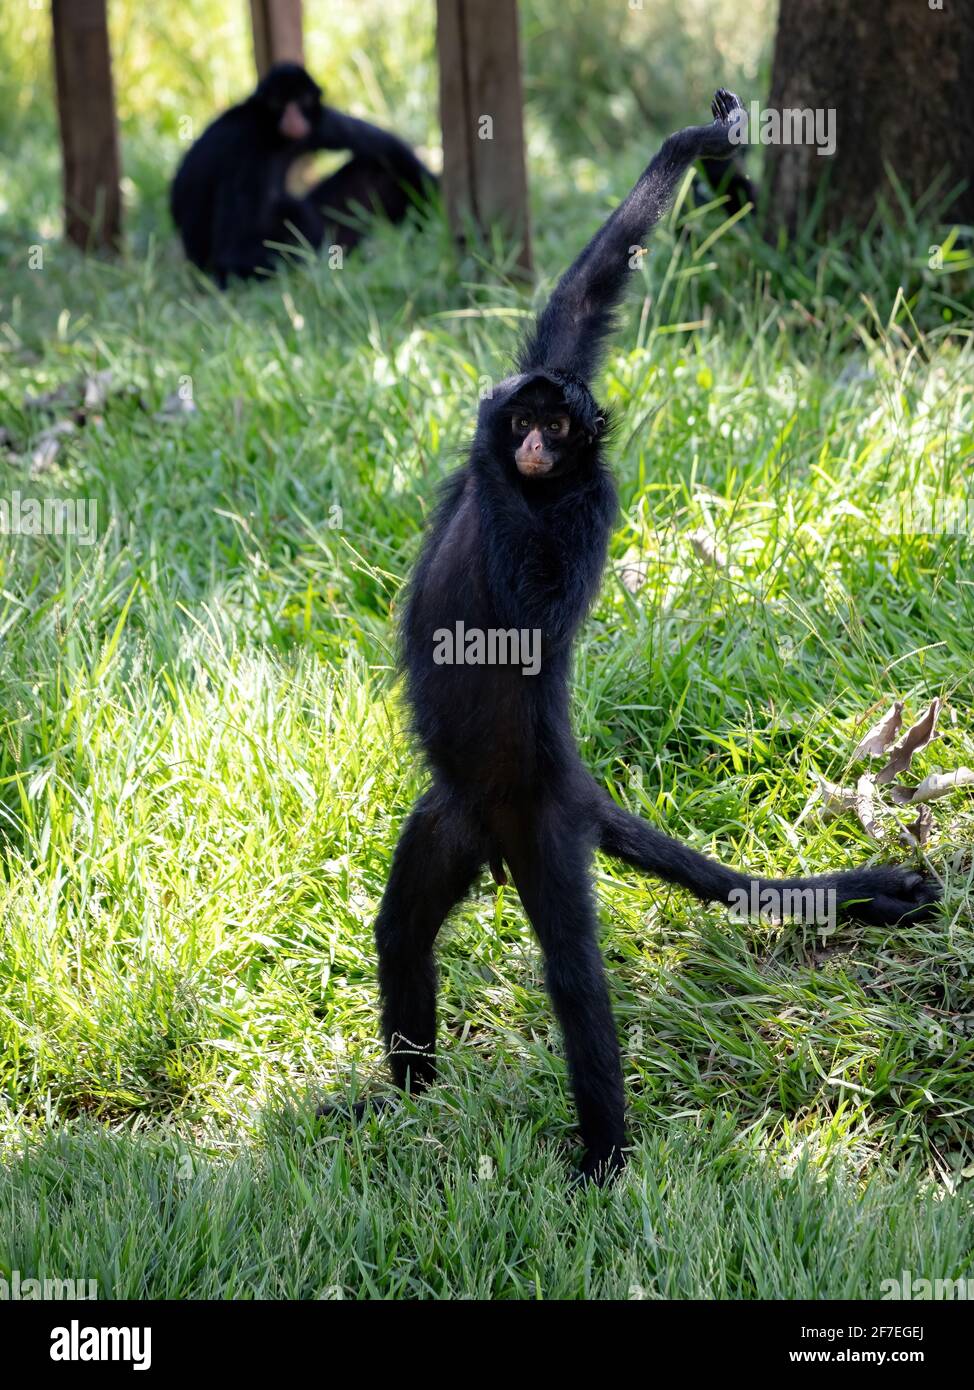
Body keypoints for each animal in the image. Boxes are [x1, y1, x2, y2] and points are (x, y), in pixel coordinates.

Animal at [170, 62, 435, 286]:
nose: (293, 116)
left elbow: (385, 147)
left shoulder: (316, 124)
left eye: (302, 100)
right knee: (294, 209)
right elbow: (231, 253)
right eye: (278, 102)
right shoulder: (245, 152)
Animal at [351, 91, 939, 1184]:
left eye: (556, 431)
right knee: (403, 931)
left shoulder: (592, 506)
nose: (530, 442)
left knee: (575, 983)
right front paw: (694, 147)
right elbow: (582, 300)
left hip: (540, 826)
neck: (546, 487)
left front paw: (482, 444)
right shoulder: (557, 363)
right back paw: (404, 1104)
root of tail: (564, 786)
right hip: (452, 817)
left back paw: (602, 1157)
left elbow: (529, 616)